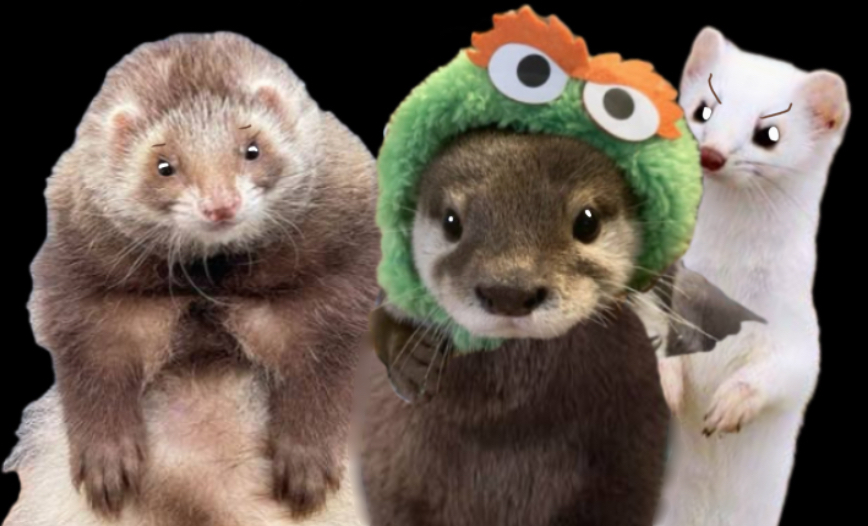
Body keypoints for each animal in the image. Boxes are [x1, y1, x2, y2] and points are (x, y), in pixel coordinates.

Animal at [4, 32, 378, 526]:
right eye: (164, 164)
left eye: (252, 147)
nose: (220, 204)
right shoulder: (82, 294)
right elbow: (92, 373)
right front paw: (106, 463)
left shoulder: (339, 286)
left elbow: (323, 374)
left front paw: (306, 464)